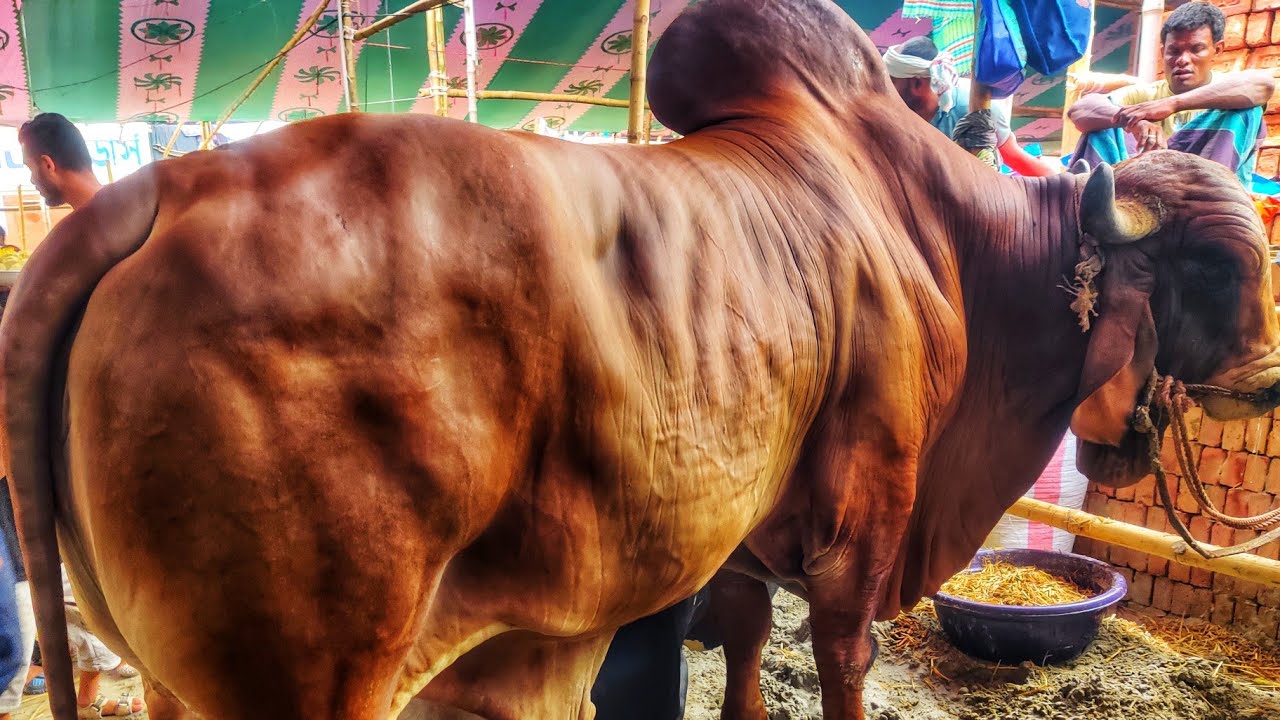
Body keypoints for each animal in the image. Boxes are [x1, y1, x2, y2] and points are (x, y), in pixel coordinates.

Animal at [2, 2, 1279, 720]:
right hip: (308, 677)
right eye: (1214, 268)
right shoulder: (863, 524)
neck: (950, 244)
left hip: (172, 677)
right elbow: (843, 661)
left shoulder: (748, 544)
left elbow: (748, 655)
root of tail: (150, 195)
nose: (1264, 375)